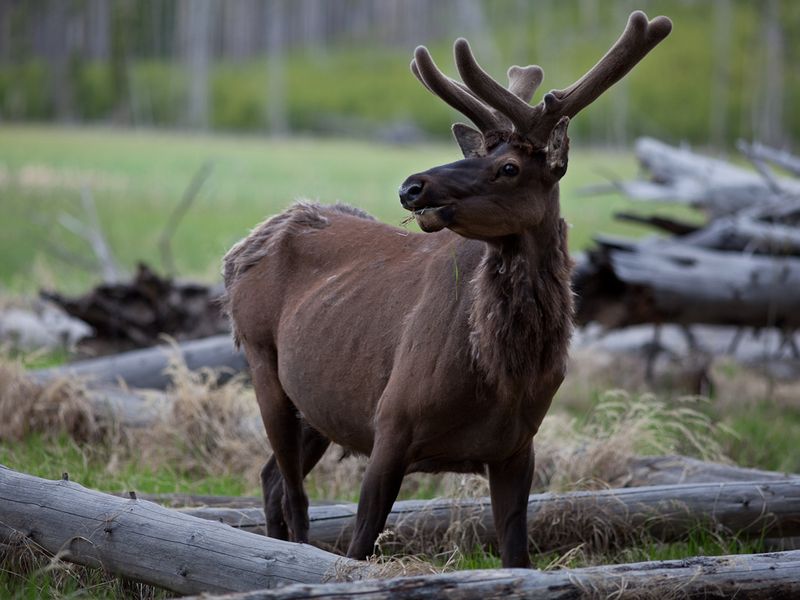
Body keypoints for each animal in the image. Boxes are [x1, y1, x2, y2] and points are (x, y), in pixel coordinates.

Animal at [222, 11, 671, 568]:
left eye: (508, 167)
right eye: (487, 153)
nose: (411, 186)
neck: (501, 379)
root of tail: (240, 251)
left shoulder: (517, 447)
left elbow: (517, 555)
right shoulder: (391, 421)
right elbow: (359, 547)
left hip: (317, 404)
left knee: (270, 480)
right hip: (262, 359)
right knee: (292, 494)